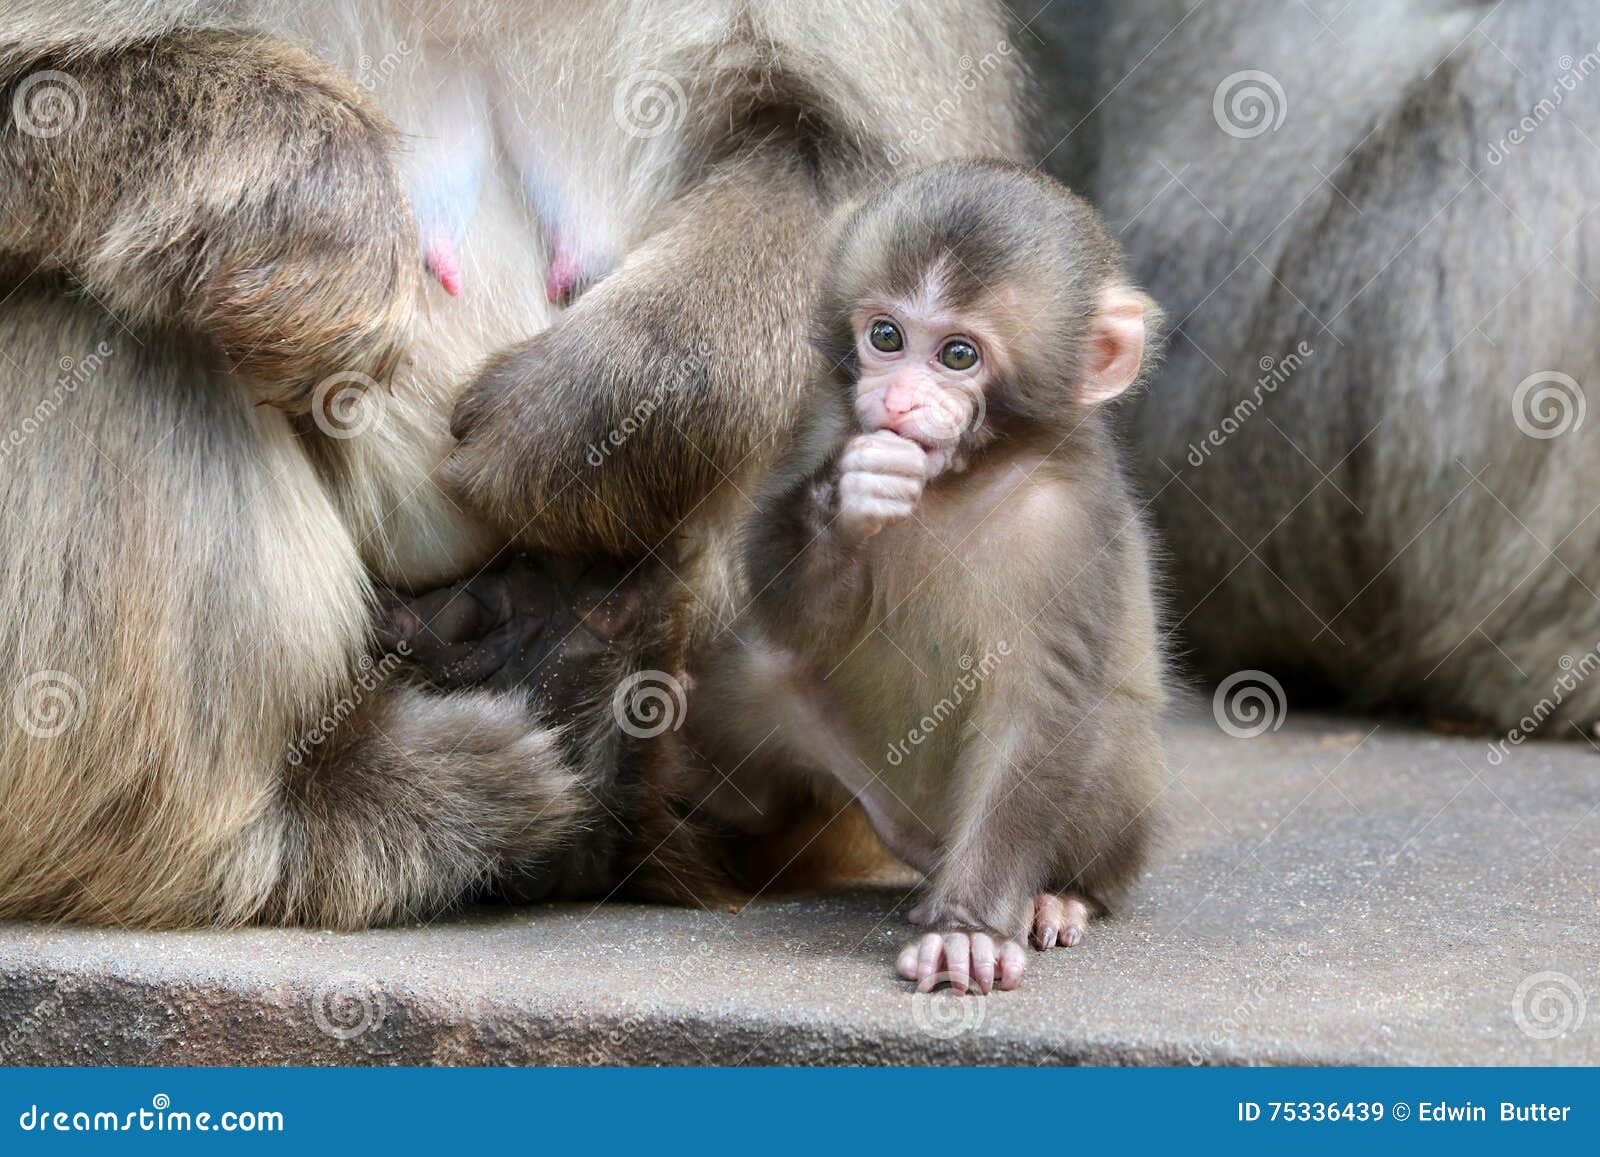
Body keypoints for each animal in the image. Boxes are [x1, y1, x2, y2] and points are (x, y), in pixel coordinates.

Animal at [0, 1, 1028, 928]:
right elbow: (45, 84)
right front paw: (318, 216)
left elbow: (845, 153)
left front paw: (602, 404)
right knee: (102, 316)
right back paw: (319, 819)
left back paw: (583, 689)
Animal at [678, 161, 1166, 994]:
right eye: (887, 336)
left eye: (958, 355)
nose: (900, 400)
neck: (965, 477)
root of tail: (923, 840)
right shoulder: (825, 416)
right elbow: (793, 618)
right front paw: (850, 499)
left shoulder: (1069, 519)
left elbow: (1040, 701)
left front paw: (968, 932)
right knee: (760, 668)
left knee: (1105, 733)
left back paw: (1063, 895)